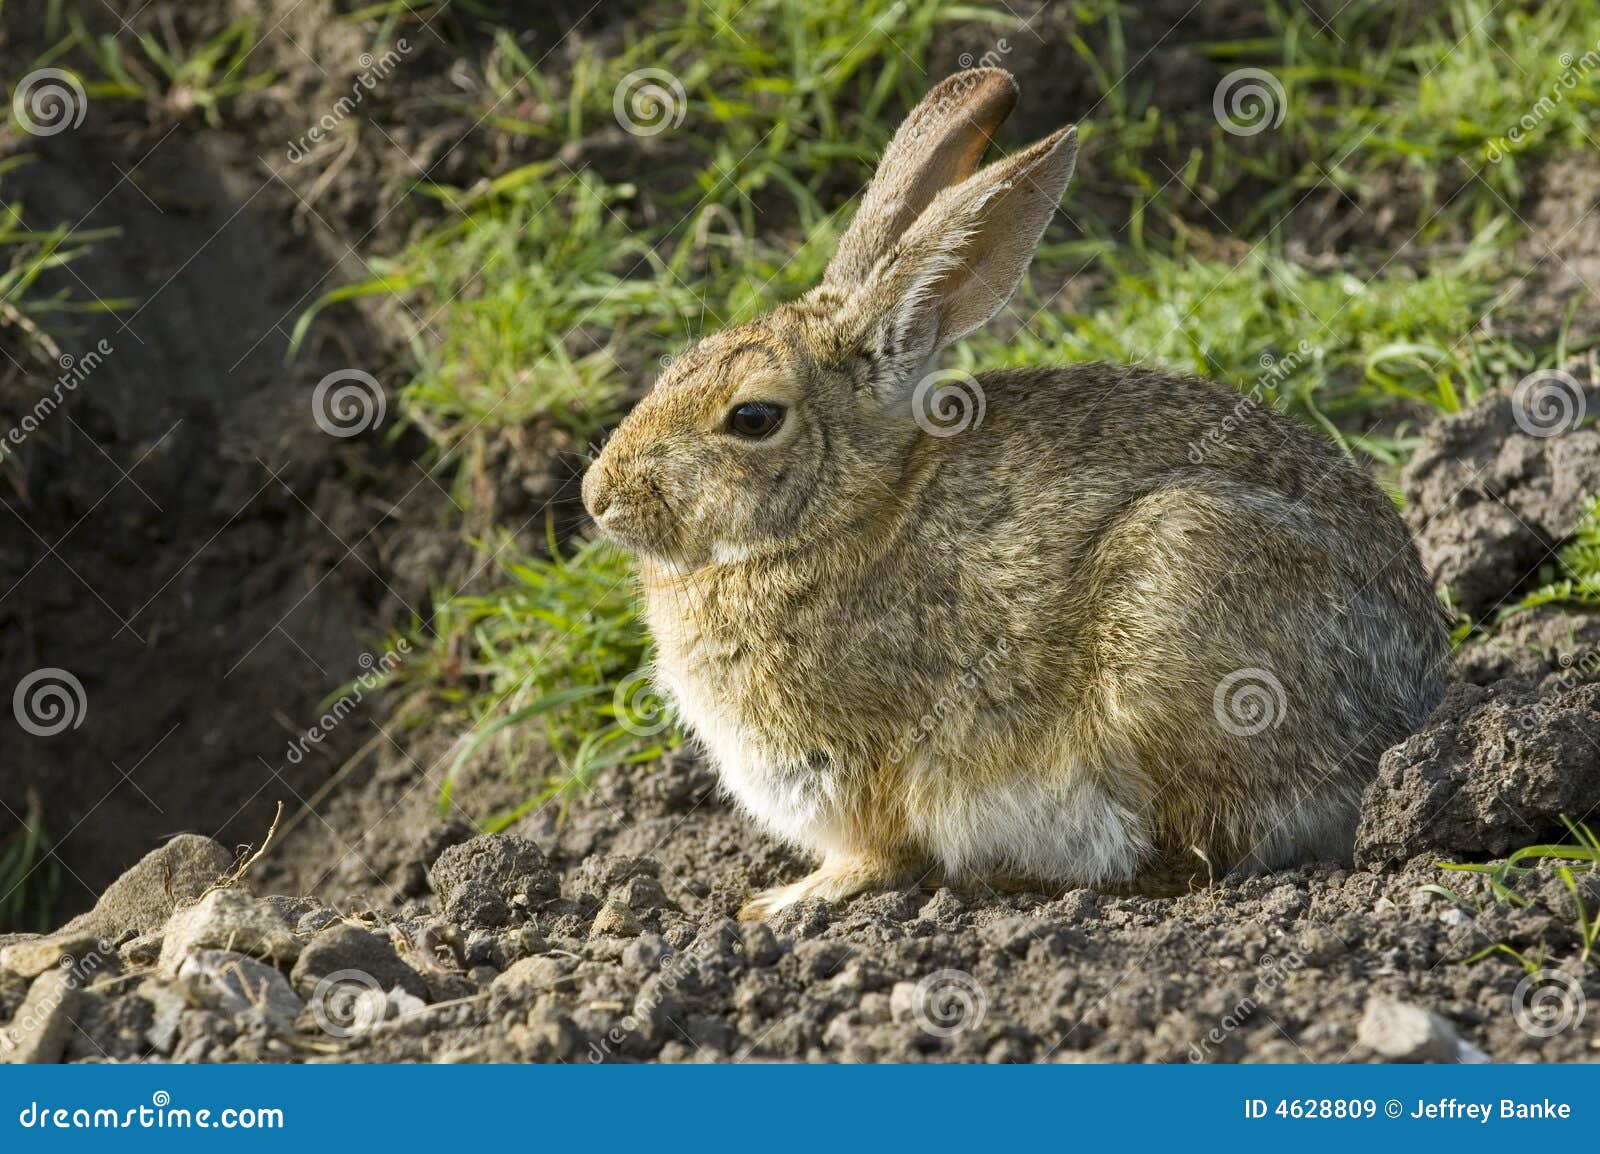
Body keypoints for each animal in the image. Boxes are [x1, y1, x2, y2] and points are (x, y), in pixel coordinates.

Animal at [582, 68, 1450, 922]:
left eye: (753, 418)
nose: (598, 497)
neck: (844, 511)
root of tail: (1408, 710)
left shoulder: (862, 774)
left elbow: (876, 854)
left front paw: (790, 900)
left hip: (1182, 607)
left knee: (1204, 851)